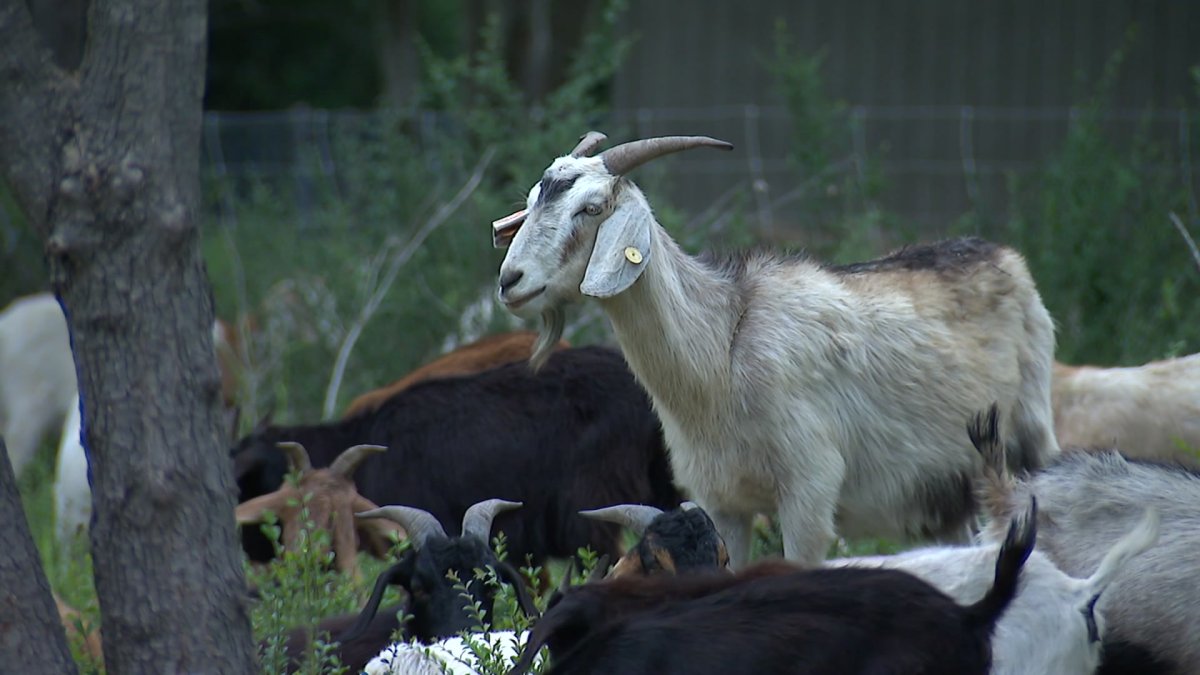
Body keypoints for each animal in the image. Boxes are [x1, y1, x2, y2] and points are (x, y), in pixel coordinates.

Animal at [494, 132, 1060, 566]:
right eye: (533, 199)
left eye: (590, 208)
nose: (509, 280)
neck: (722, 350)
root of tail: (1005, 257)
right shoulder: (721, 502)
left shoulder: (810, 492)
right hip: (943, 492)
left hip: (1032, 436)